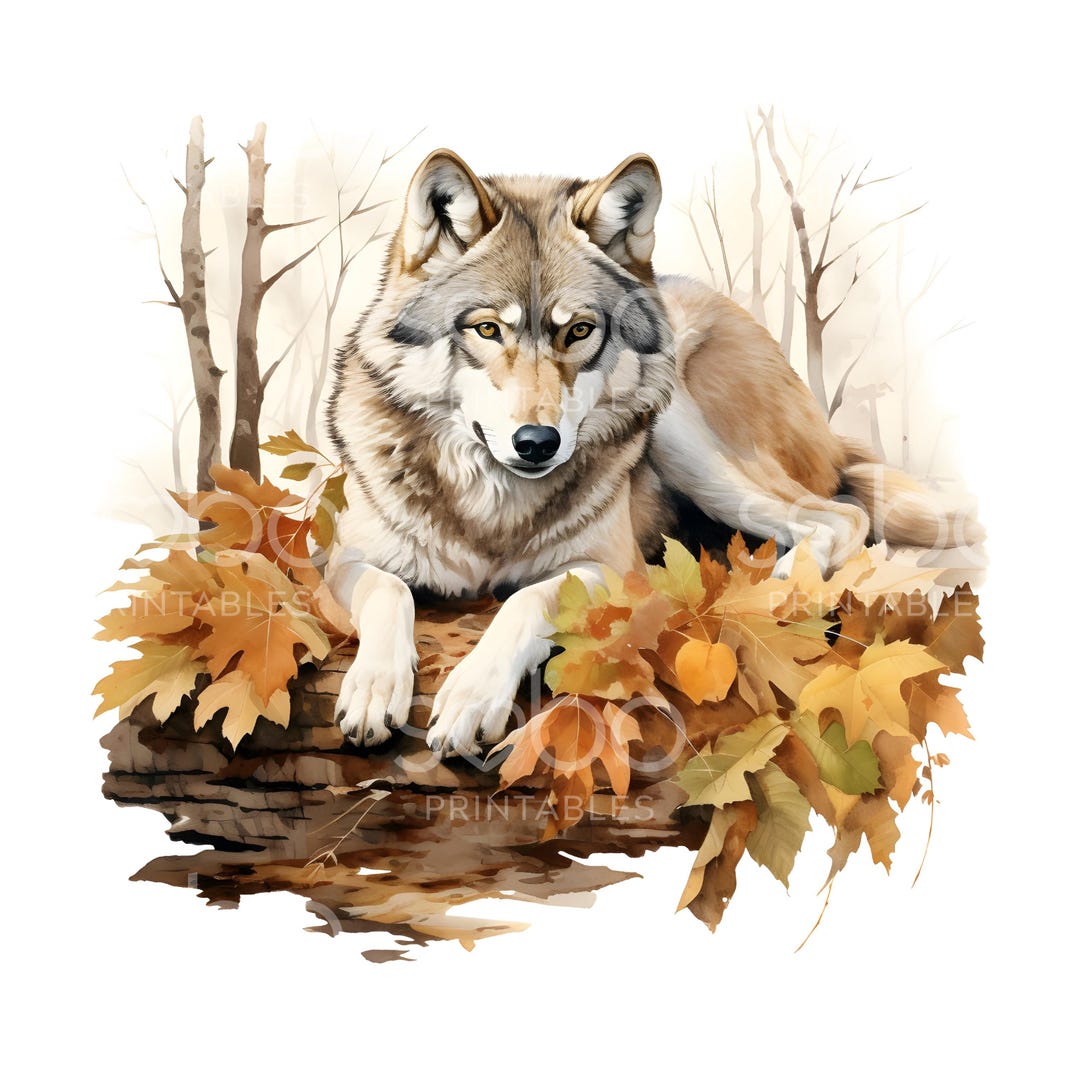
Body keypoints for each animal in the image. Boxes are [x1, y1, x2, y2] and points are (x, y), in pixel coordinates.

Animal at [325, 149, 976, 758]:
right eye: (487, 330)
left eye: (579, 331)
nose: (537, 443)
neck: (493, 508)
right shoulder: (343, 561)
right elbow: (390, 591)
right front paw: (375, 690)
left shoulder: (614, 569)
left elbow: (527, 600)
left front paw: (471, 696)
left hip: (680, 432)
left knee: (843, 517)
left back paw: (777, 585)